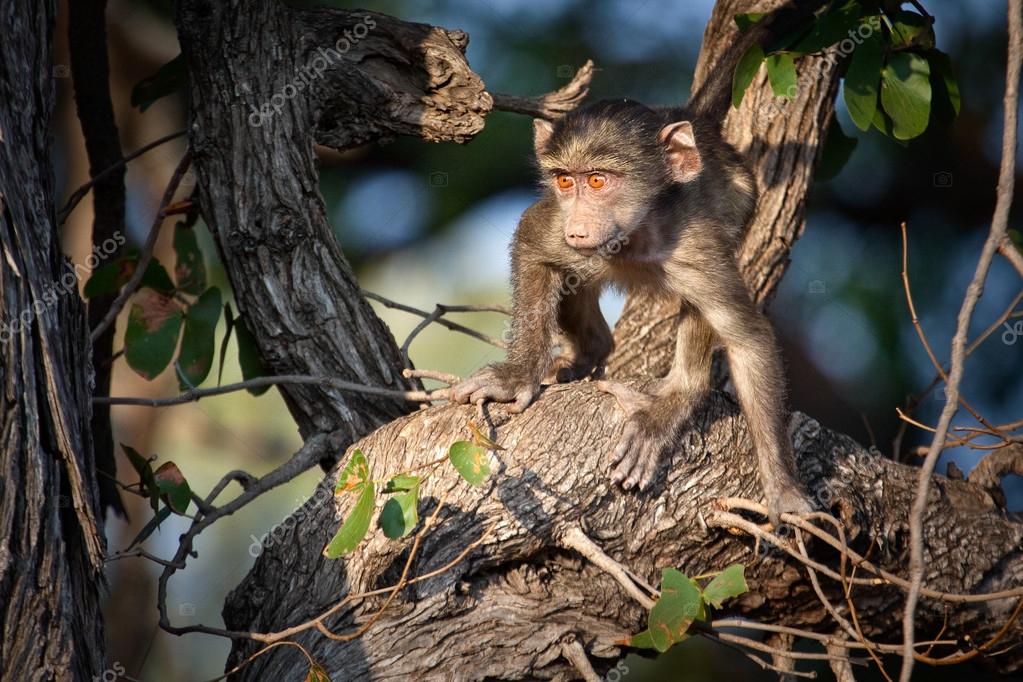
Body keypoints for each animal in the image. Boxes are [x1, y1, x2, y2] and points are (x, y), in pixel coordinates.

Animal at [449, 4, 817, 523]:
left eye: (598, 181)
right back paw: (591, 352)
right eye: (565, 181)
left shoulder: (696, 250)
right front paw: (518, 376)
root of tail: (691, 121)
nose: (578, 228)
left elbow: (748, 340)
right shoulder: (555, 224)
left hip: (740, 199)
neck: (633, 237)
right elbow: (531, 247)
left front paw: (784, 490)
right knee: (576, 279)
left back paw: (676, 396)